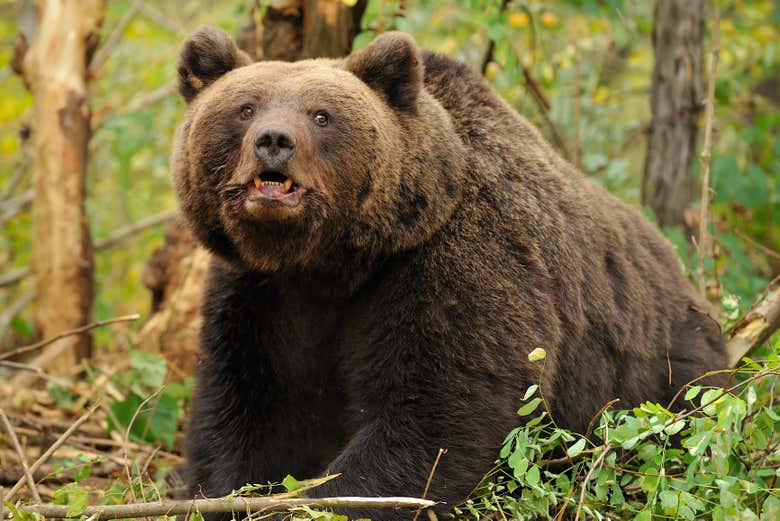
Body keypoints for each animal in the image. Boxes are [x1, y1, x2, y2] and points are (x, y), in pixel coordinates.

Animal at [172, 25, 727, 521]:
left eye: (321, 115)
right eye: (245, 108)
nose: (273, 141)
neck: (330, 262)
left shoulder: (450, 267)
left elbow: (437, 415)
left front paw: (323, 501)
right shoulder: (259, 294)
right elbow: (246, 414)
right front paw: (227, 496)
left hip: (666, 374)